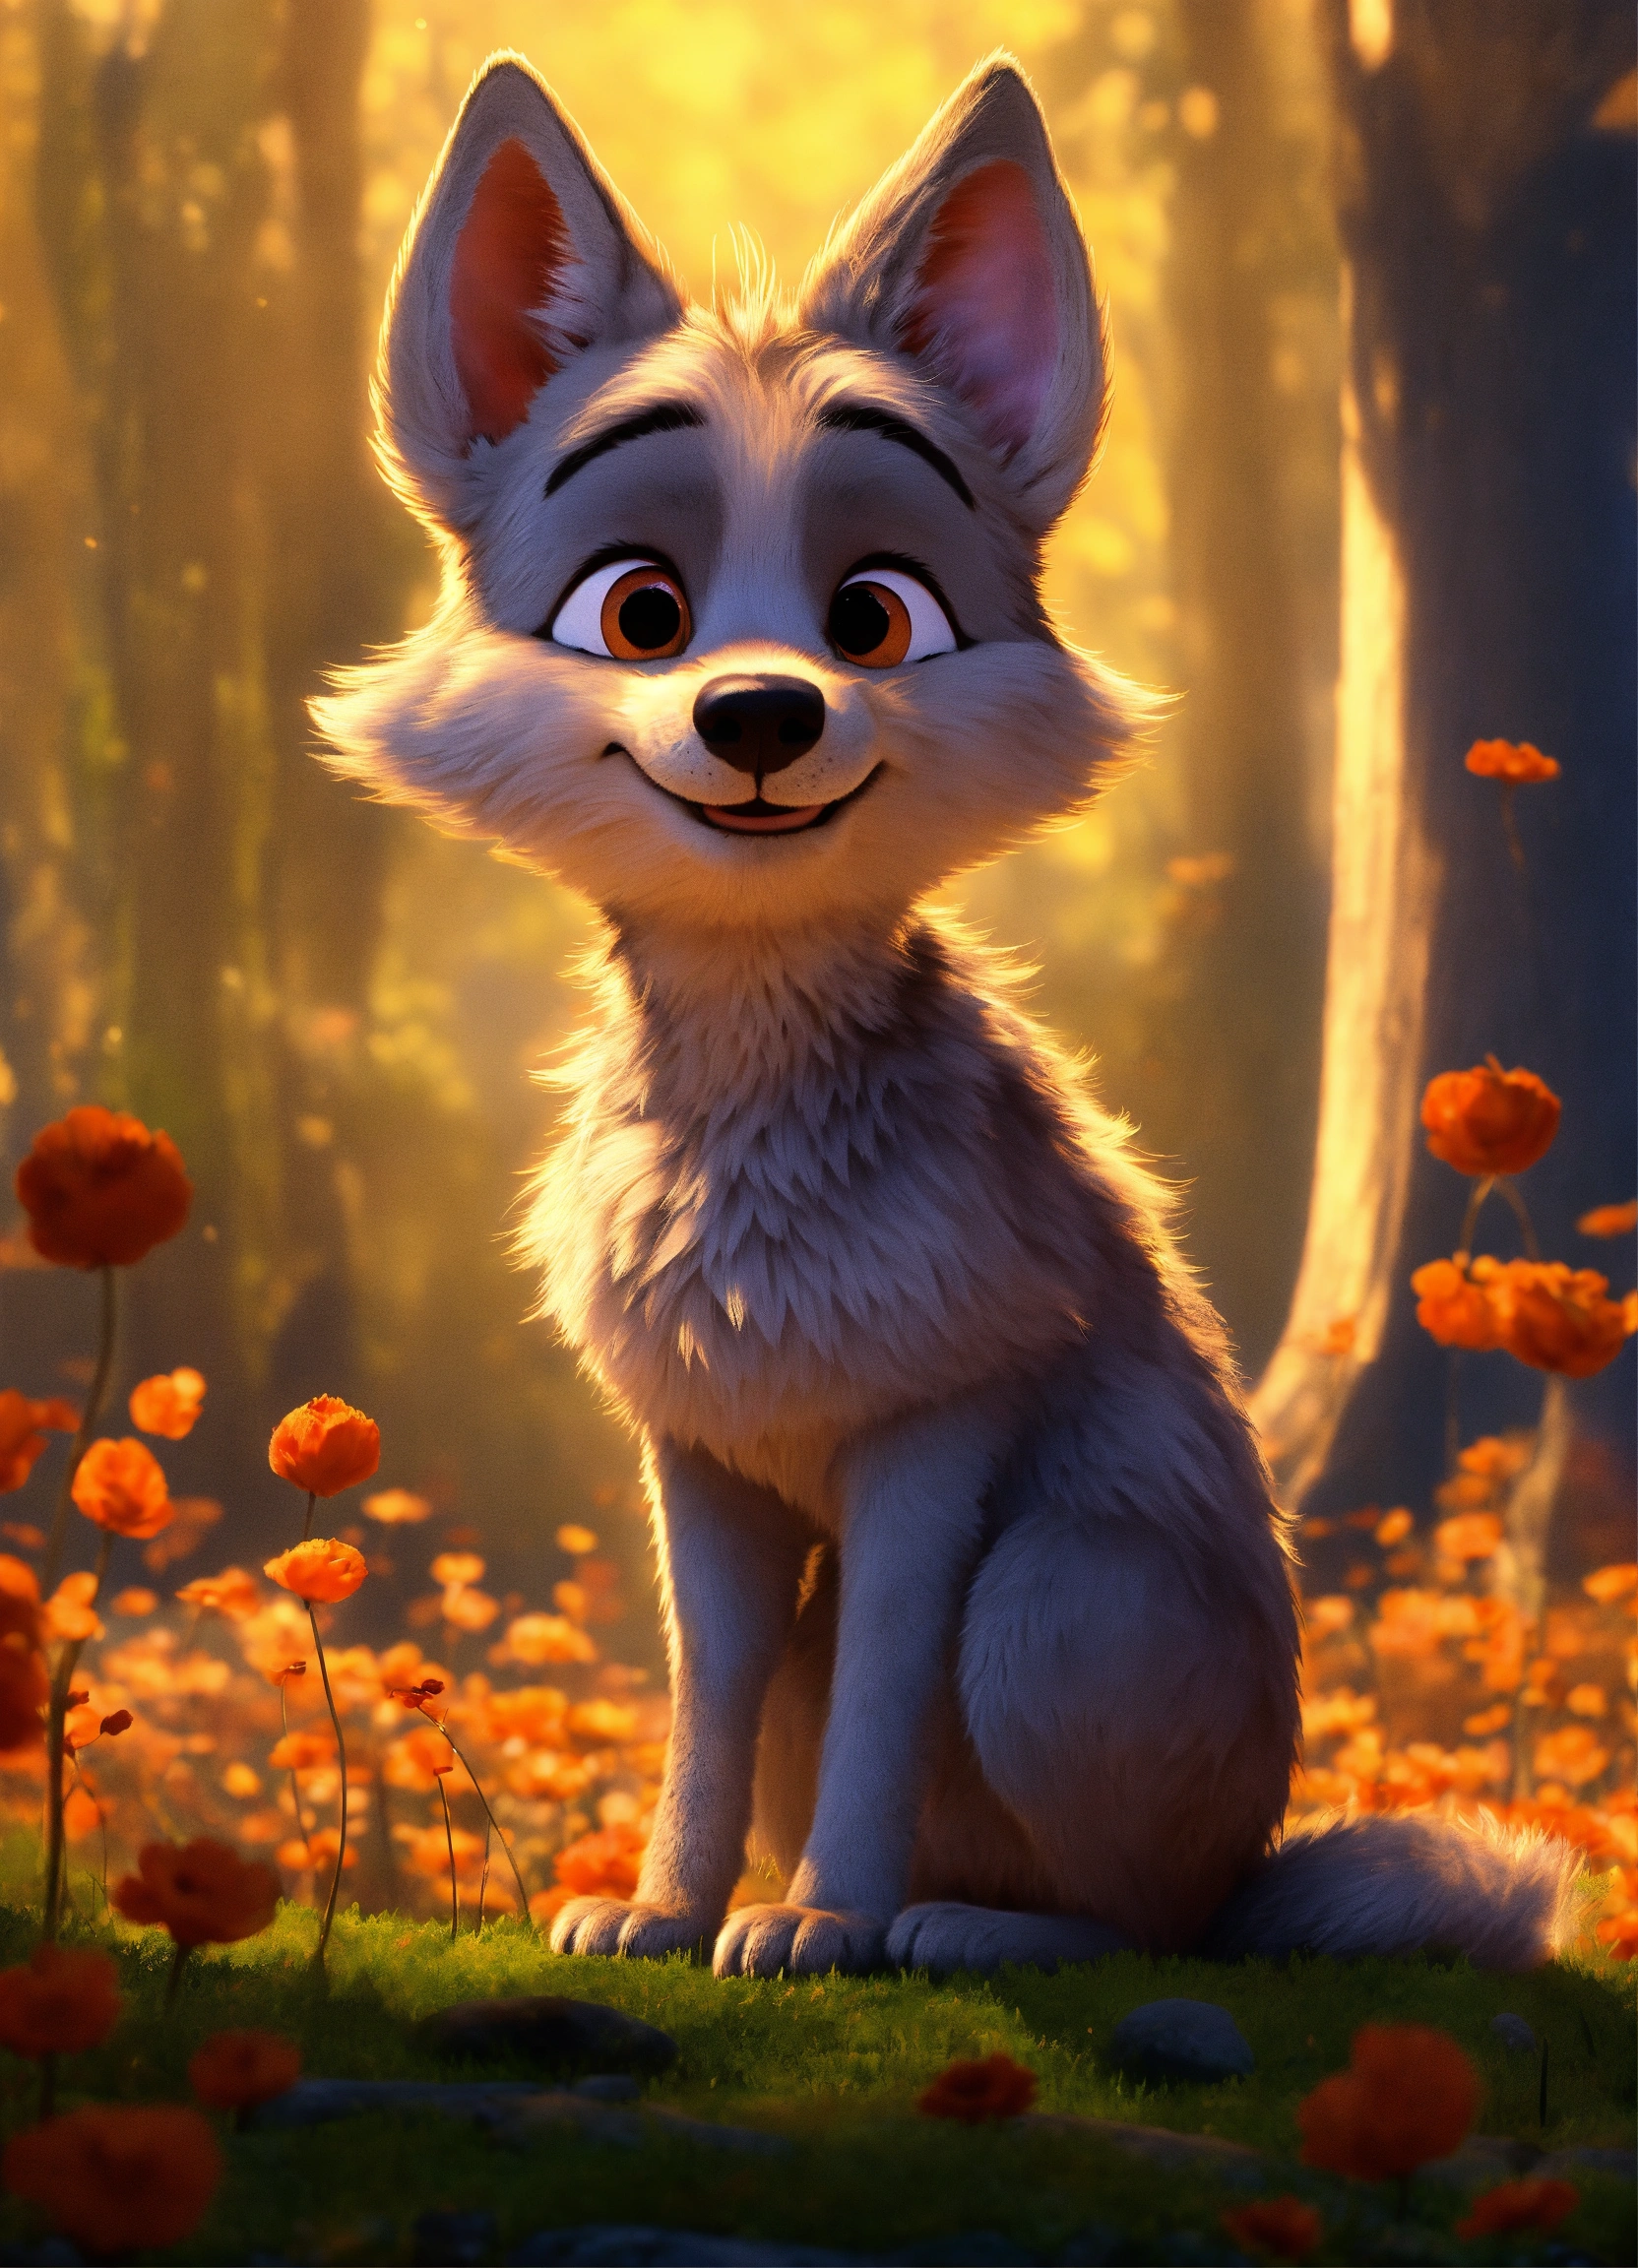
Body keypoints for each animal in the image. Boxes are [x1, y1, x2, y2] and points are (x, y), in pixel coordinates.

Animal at [315, 51, 1575, 1978]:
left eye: (874, 617)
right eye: (638, 611)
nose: (763, 714)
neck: (755, 1131)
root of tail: (1251, 1856)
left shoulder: (940, 1434)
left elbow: (883, 1705)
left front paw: (814, 1923)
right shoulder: (699, 1454)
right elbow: (704, 1701)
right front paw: (668, 1909)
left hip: (1061, 1590)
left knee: (1148, 1921)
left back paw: (962, 1929)